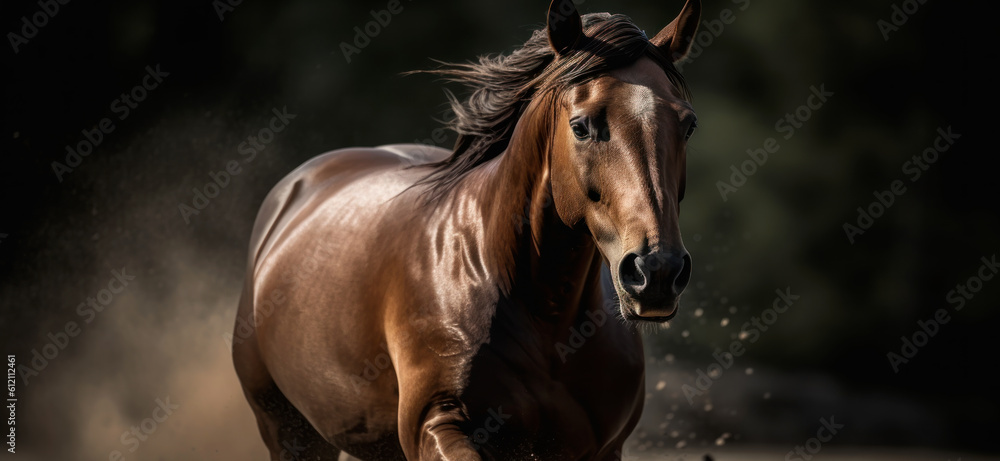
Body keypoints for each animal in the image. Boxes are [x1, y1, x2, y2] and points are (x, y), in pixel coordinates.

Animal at [232, 0, 702, 459]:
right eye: (581, 126)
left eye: (688, 124)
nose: (656, 271)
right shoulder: (437, 425)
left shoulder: (601, 449)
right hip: (288, 430)